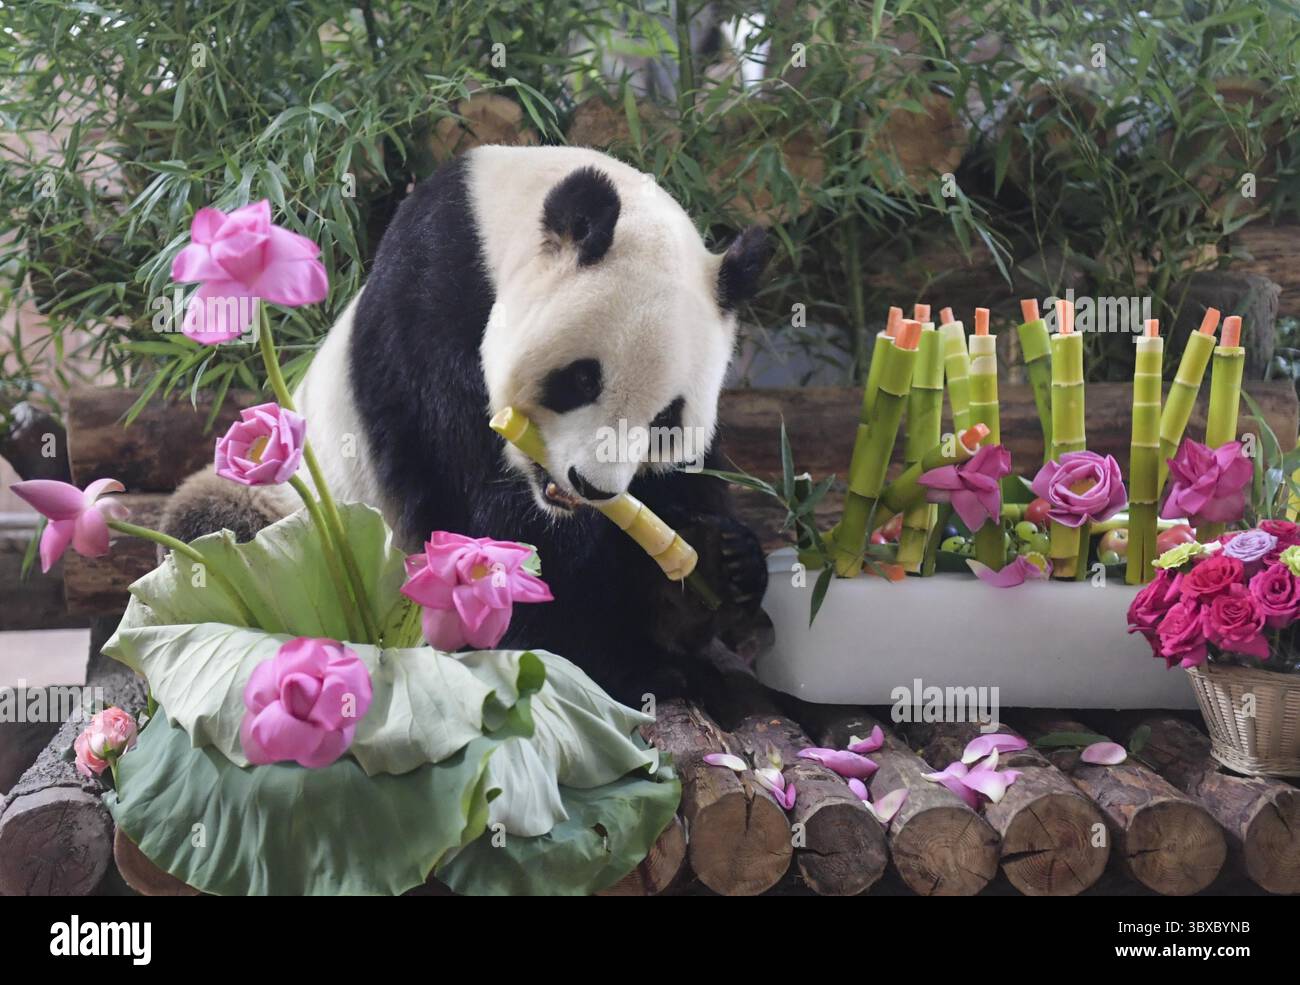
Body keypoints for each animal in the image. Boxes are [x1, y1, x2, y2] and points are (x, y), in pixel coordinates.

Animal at [164, 145, 772, 703]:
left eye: (666, 418)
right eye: (582, 379)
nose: (593, 486)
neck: (496, 221)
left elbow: (685, 486)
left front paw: (716, 570)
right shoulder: (431, 317)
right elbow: (488, 513)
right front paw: (615, 664)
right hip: (287, 506)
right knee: (219, 534)